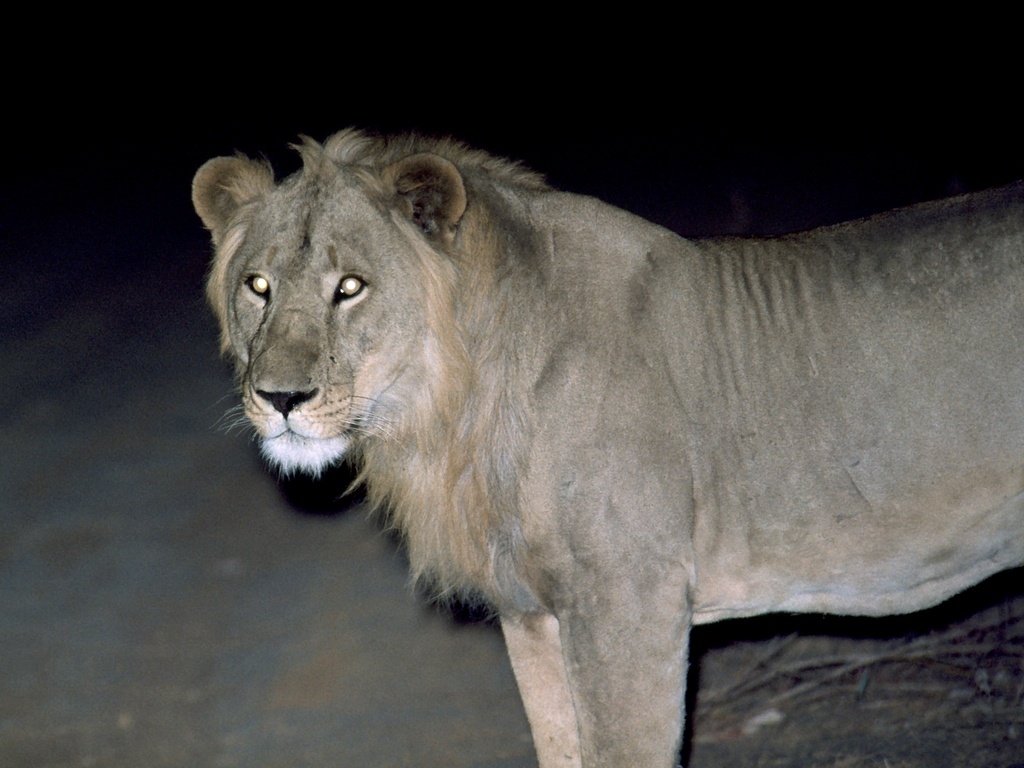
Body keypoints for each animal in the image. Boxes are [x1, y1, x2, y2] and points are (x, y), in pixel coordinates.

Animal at [193, 129, 1024, 767]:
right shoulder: (533, 614)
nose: (280, 399)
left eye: (351, 287)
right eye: (258, 286)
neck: (453, 413)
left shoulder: (630, 599)